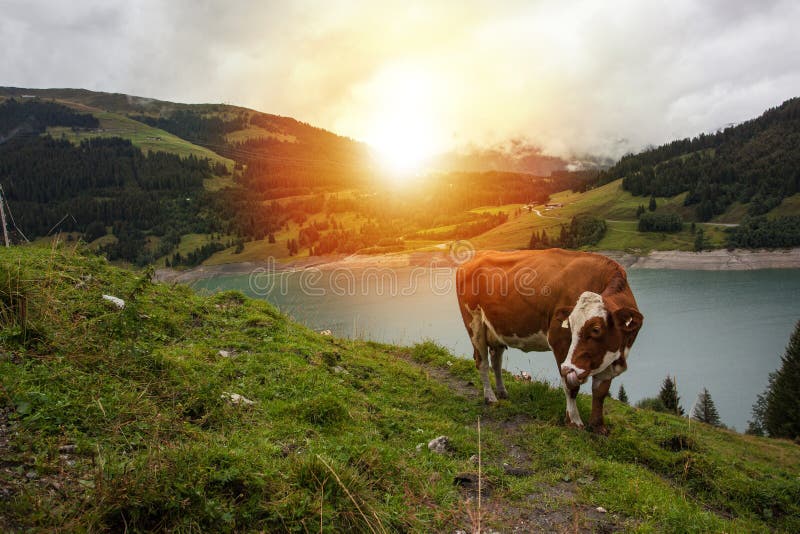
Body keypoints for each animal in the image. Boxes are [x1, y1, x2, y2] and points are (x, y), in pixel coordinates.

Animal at [456, 249, 643, 434]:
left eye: (596, 329)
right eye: (570, 326)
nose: (569, 367)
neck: (619, 355)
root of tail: (477, 256)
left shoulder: (606, 360)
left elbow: (600, 392)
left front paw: (598, 427)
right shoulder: (559, 340)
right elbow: (571, 386)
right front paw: (574, 422)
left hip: (496, 329)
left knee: (496, 361)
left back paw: (502, 392)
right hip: (474, 324)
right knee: (482, 362)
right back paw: (490, 397)